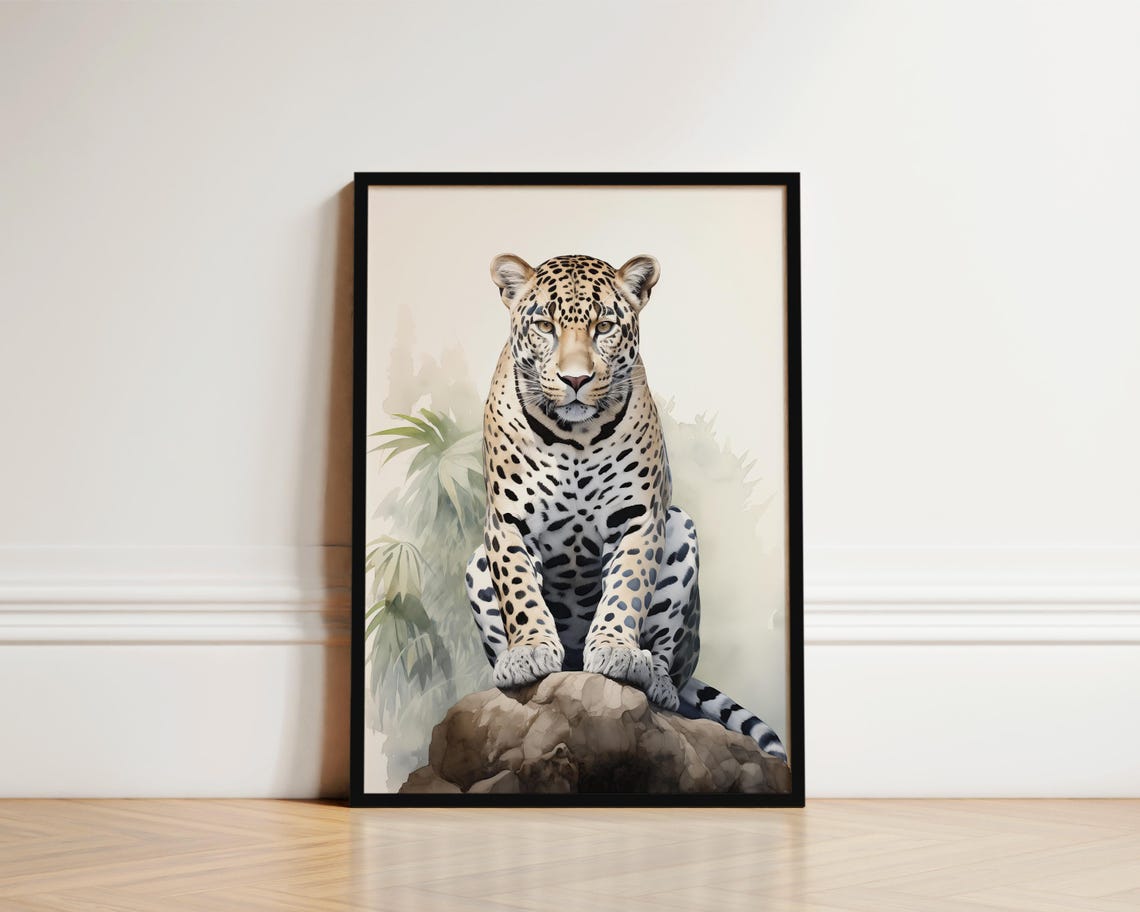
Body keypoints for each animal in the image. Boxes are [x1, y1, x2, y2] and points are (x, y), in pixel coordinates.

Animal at [464, 252, 787, 761]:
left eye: (604, 326)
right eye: (544, 325)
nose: (576, 379)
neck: (574, 437)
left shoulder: (639, 520)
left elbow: (627, 590)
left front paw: (616, 648)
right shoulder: (508, 523)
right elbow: (519, 591)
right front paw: (529, 651)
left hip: (682, 533)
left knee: (669, 658)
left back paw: (655, 679)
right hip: (476, 562)